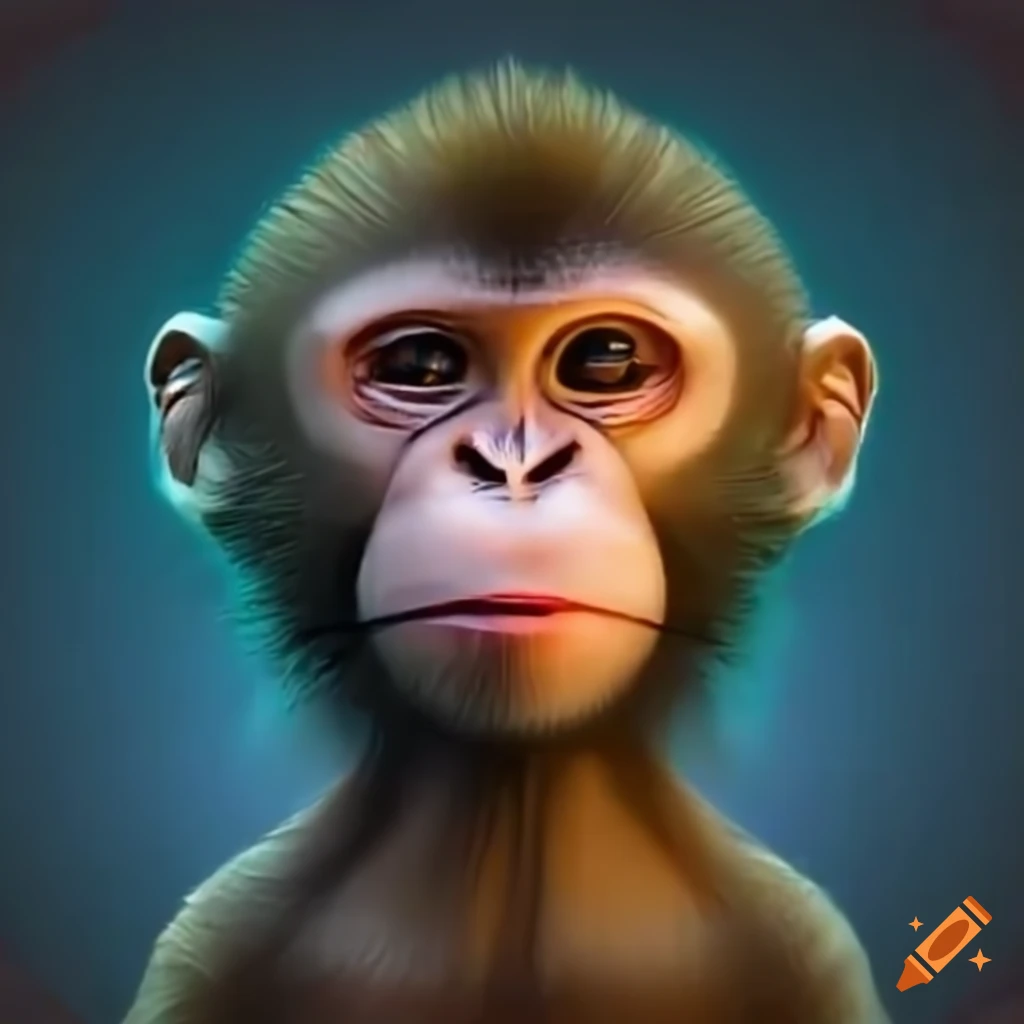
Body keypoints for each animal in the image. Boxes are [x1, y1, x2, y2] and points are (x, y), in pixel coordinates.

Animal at [124, 61, 889, 1023]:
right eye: (419, 365)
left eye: (606, 359)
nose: (515, 465)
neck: (512, 823)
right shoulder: (210, 946)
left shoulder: (808, 952)